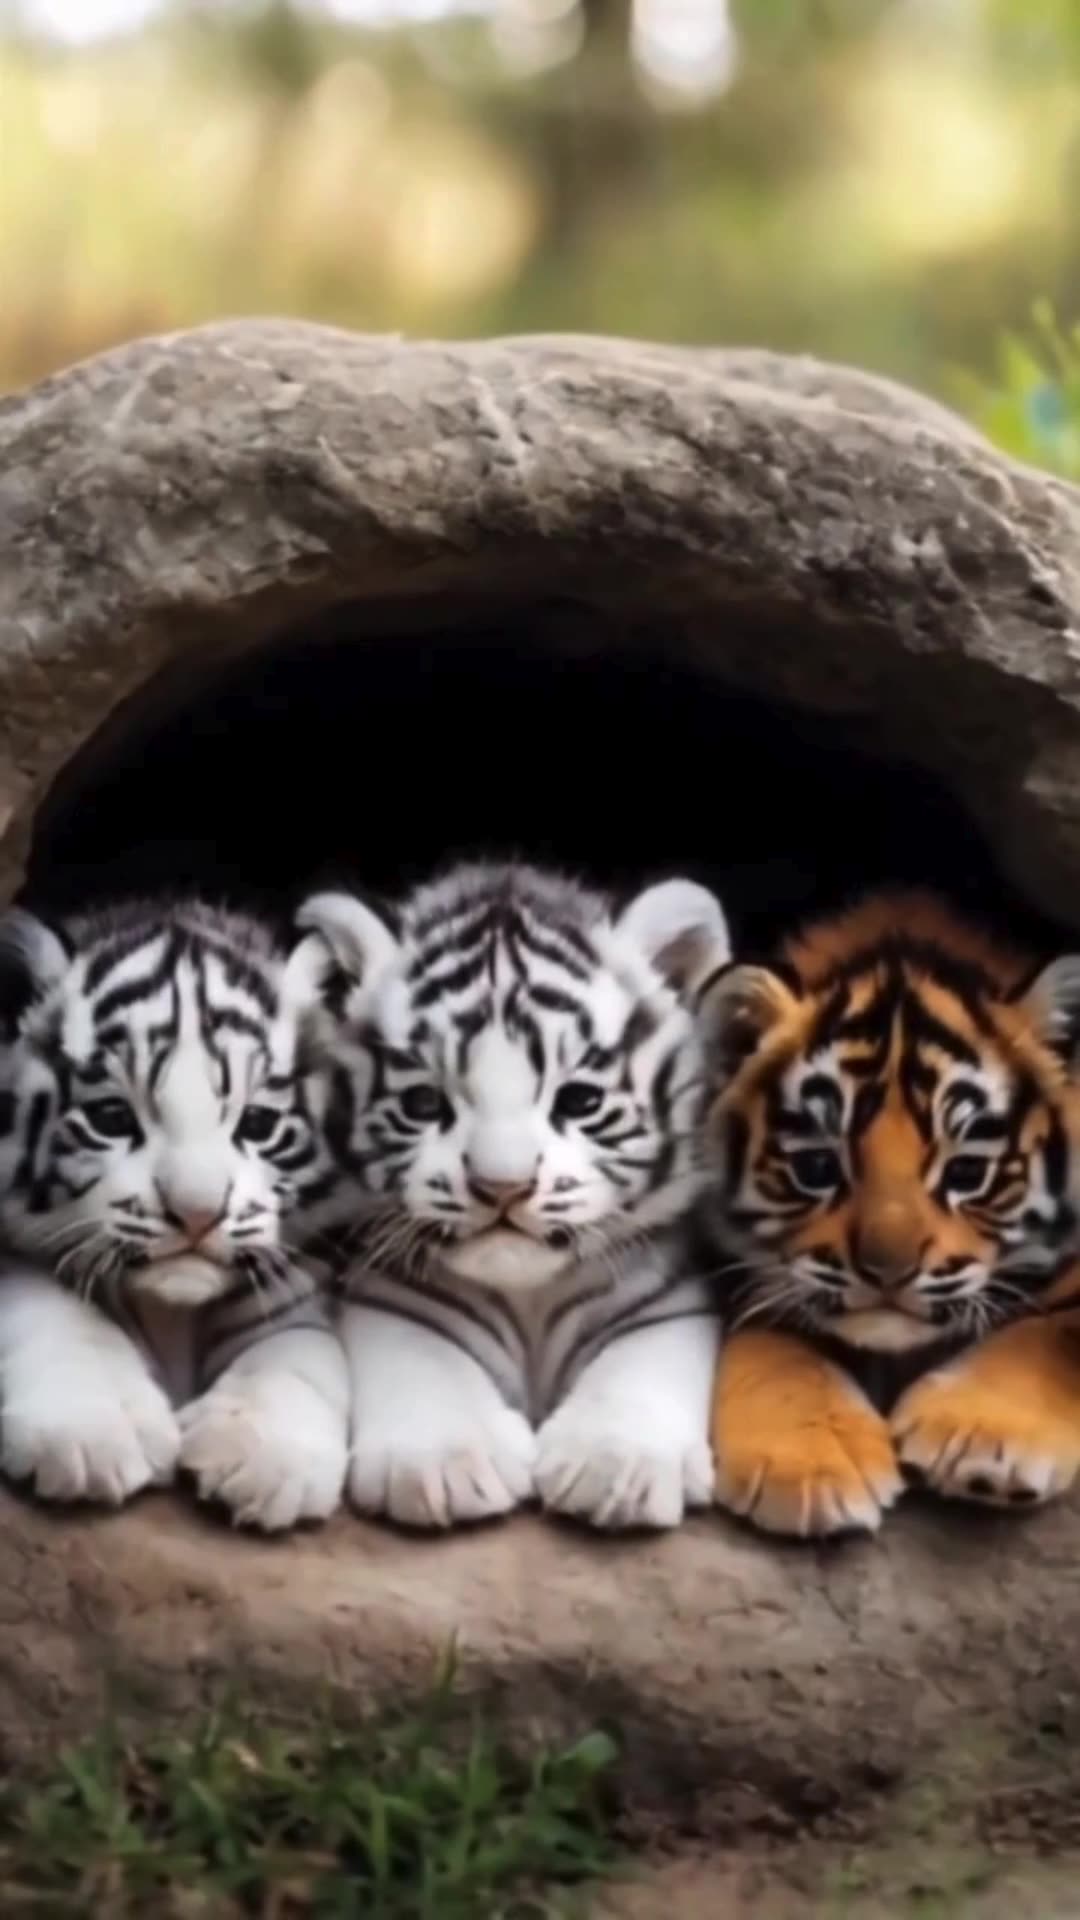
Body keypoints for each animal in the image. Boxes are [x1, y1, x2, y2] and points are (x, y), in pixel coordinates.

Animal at [0, 896, 349, 1531]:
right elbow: (44, 1300)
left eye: (257, 1124)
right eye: (112, 1118)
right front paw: (93, 1429)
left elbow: (298, 1342)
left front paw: (265, 1452)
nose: (197, 1213)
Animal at [297, 859, 730, 1532]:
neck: (529, 1299)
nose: (502, 1186)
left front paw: (617, 1463)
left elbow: (642, 1362)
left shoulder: (670, 1297)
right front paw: (445, 1462)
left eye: (579, 1100)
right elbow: (425, 1358)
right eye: (425, 1102)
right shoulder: (390, 1293)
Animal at [700, 890, 1080, 1536]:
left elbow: (1057, 1322)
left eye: (966, 1174)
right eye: (818, 1167)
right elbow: (772, 1325)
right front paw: (814, 1463)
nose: (889, 1271)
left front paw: (981, 1435)